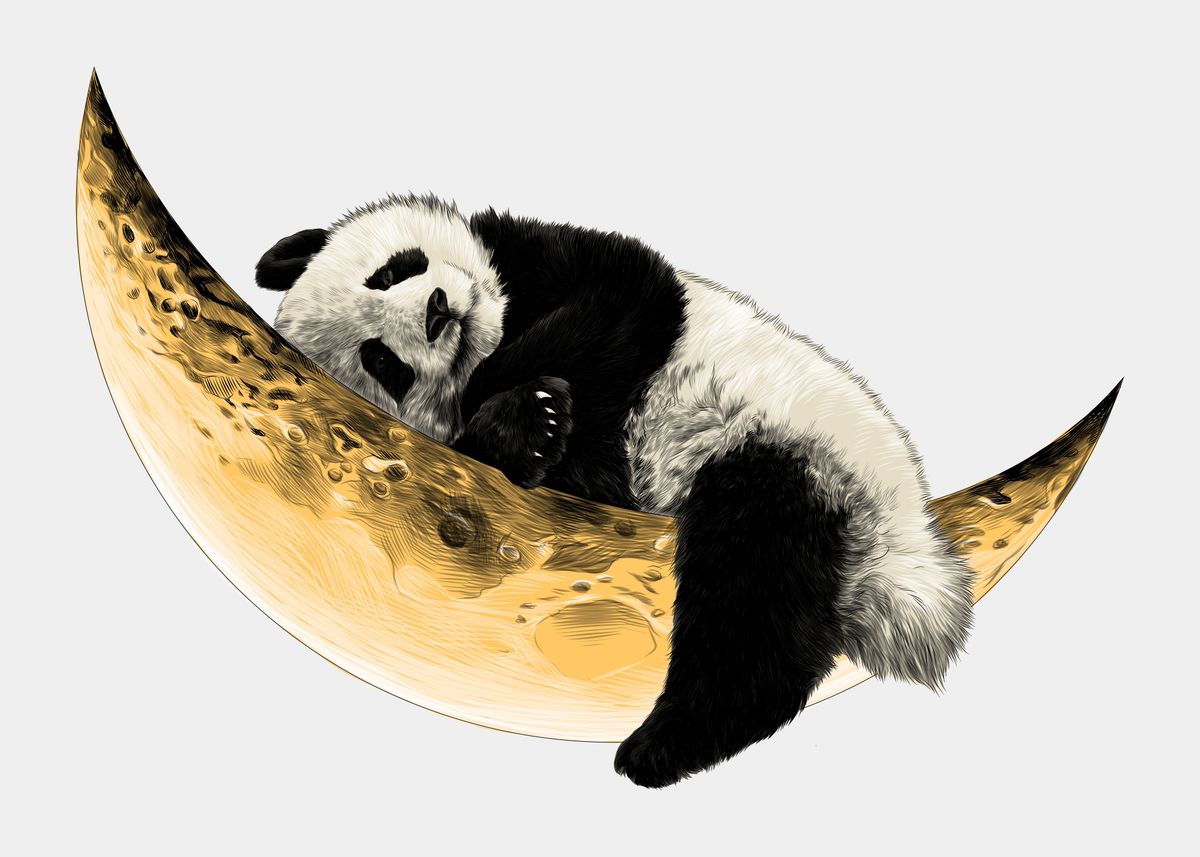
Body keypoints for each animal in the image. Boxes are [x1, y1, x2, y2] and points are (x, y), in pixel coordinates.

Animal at [256, 194, 975, 788]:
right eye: (382, 361)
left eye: (389, 271)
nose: (437, 313)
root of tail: (900, 558)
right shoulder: (587, 475)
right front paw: (527, 423)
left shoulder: (545, 258)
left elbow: (623, 289)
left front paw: (518, 399)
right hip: (791, 473)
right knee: (754, 593)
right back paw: (668, 745)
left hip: (811, 451)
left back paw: (660, 747)